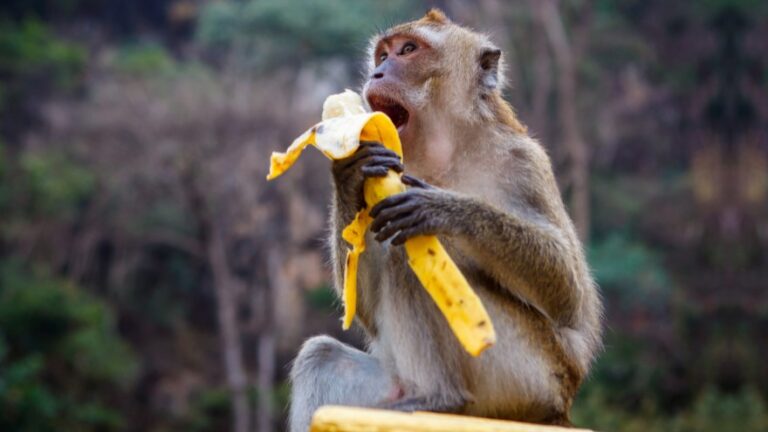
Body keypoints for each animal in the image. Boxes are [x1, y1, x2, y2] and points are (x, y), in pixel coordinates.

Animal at [289, 9, 602, 431]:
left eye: (408, 50)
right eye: (382, 55)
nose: (378, 73)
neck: (445, 151)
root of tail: (558, 412)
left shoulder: (524, 162)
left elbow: (569, 298)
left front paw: (442, 209)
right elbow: (364, 310)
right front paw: (349, 170)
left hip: (524, 376)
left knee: (409, 256)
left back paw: (442, 397)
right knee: (321, 355)